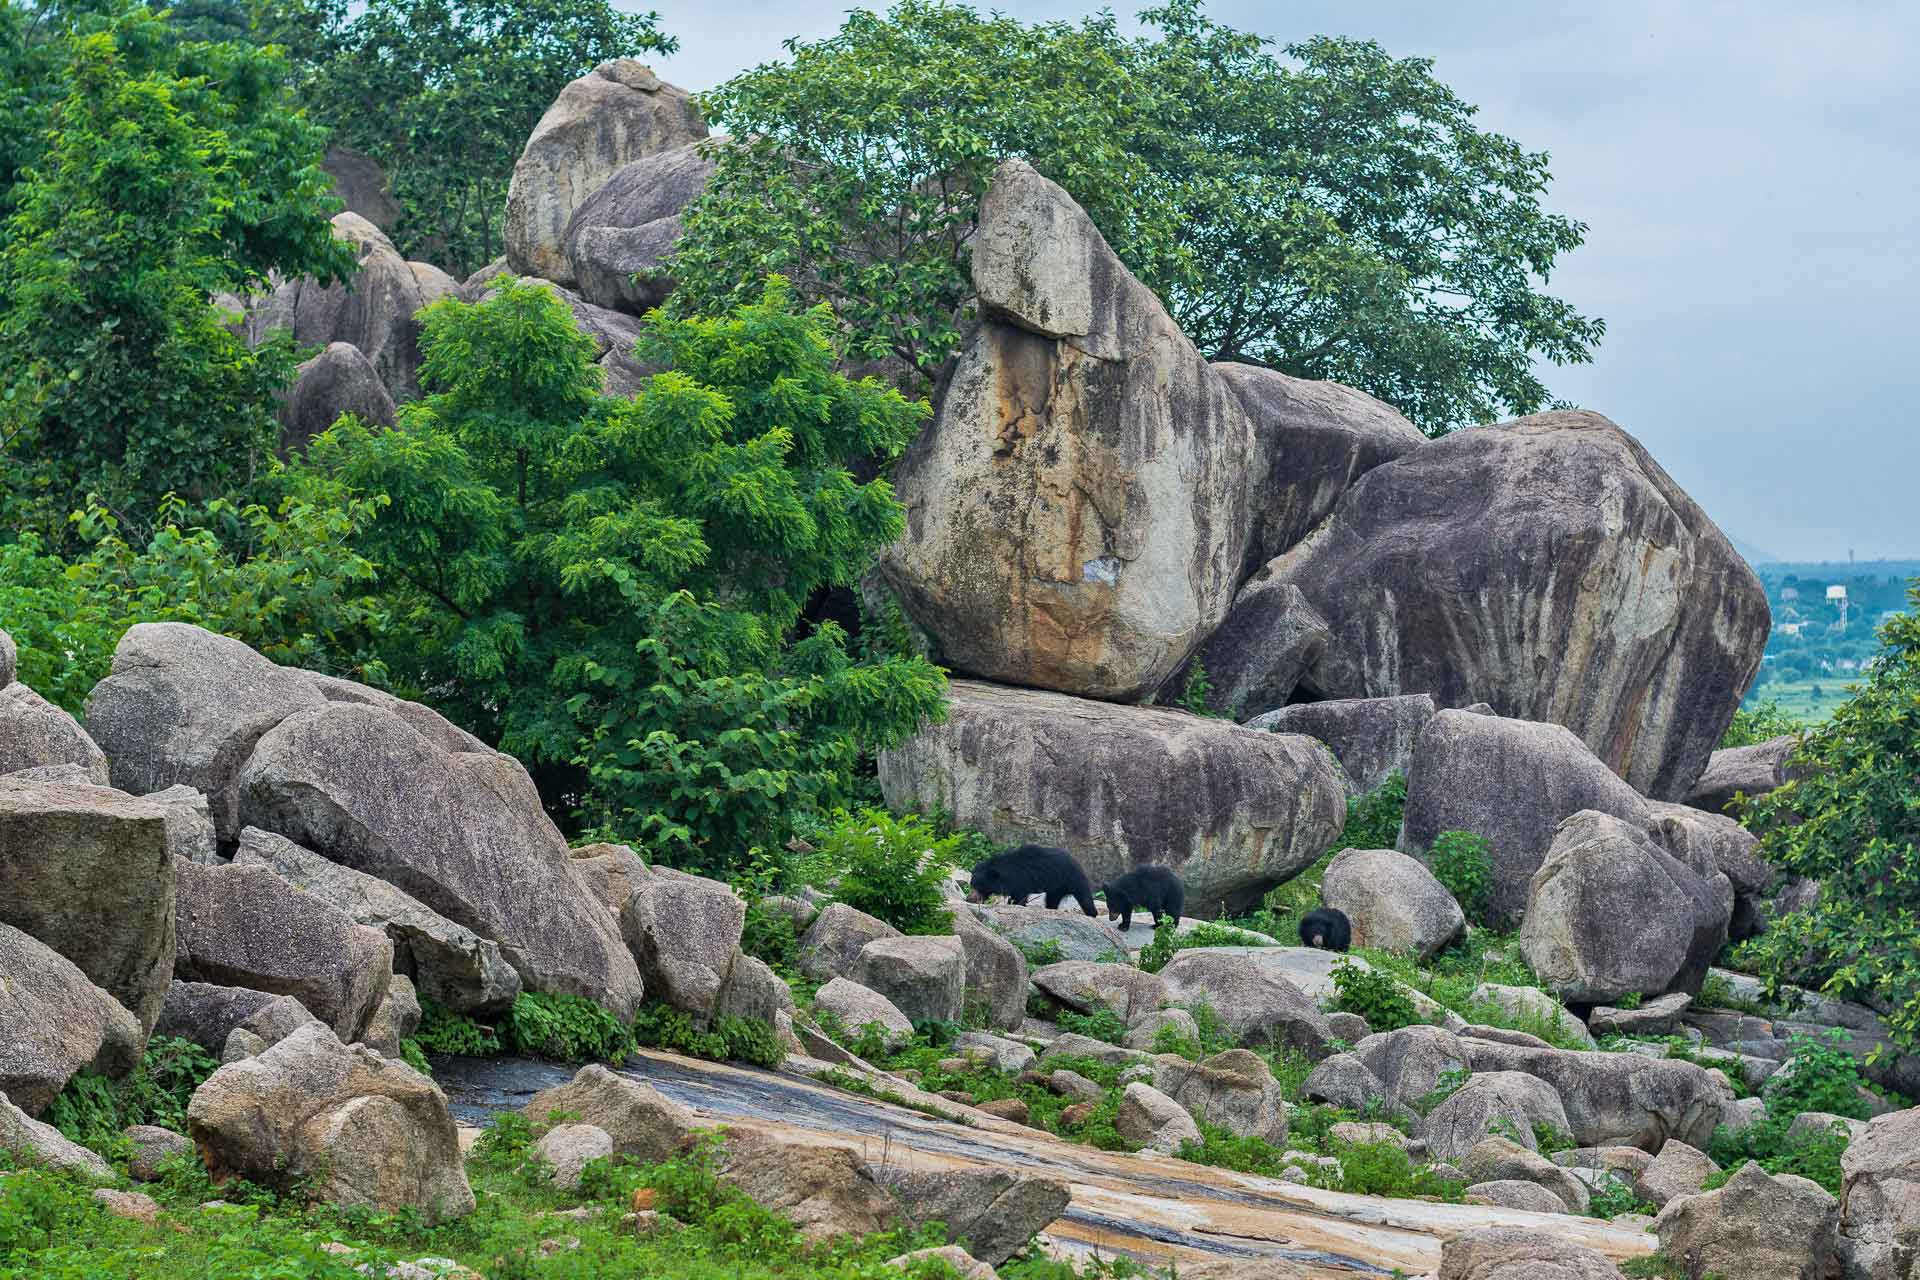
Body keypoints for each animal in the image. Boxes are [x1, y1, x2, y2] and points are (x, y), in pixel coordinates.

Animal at [968, 844, 1097, 917]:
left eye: (978, 886)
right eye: (972, 885)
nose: (969, 898)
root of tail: (1077, 862)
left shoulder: (1021, 881)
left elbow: (1020, 898)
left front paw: (1017, 905)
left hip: (1070, 879)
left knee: (1084, 898)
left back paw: (1092, 914)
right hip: (1056, 887)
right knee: (1052, 900)